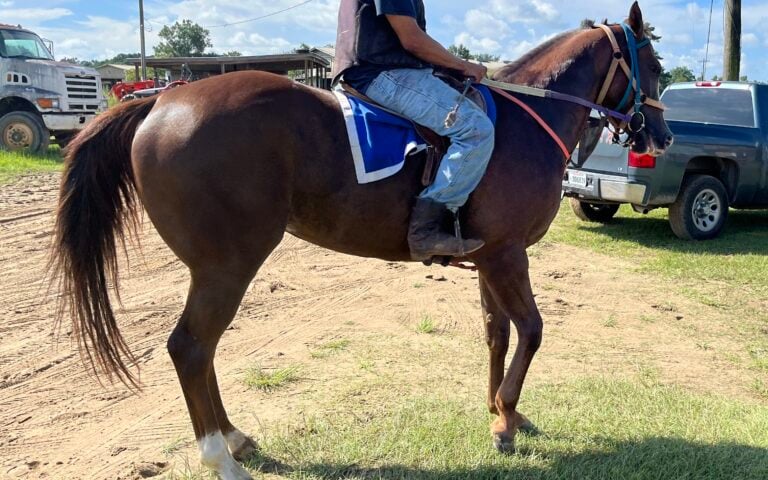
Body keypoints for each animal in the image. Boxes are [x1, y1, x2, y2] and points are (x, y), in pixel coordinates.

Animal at [51, 3, 672, 479]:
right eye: (655, 66)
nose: (663, 135)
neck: (526, 121)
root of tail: (160, 100)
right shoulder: (506, 254)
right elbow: (533, 330)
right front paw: (505, 419)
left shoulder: (489, 257)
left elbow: (497, 333)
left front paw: (502, 413)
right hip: (226, 266)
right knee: (191, 348)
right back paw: (219, 457)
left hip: (217, 269)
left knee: (203, 351)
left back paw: (234, 438)